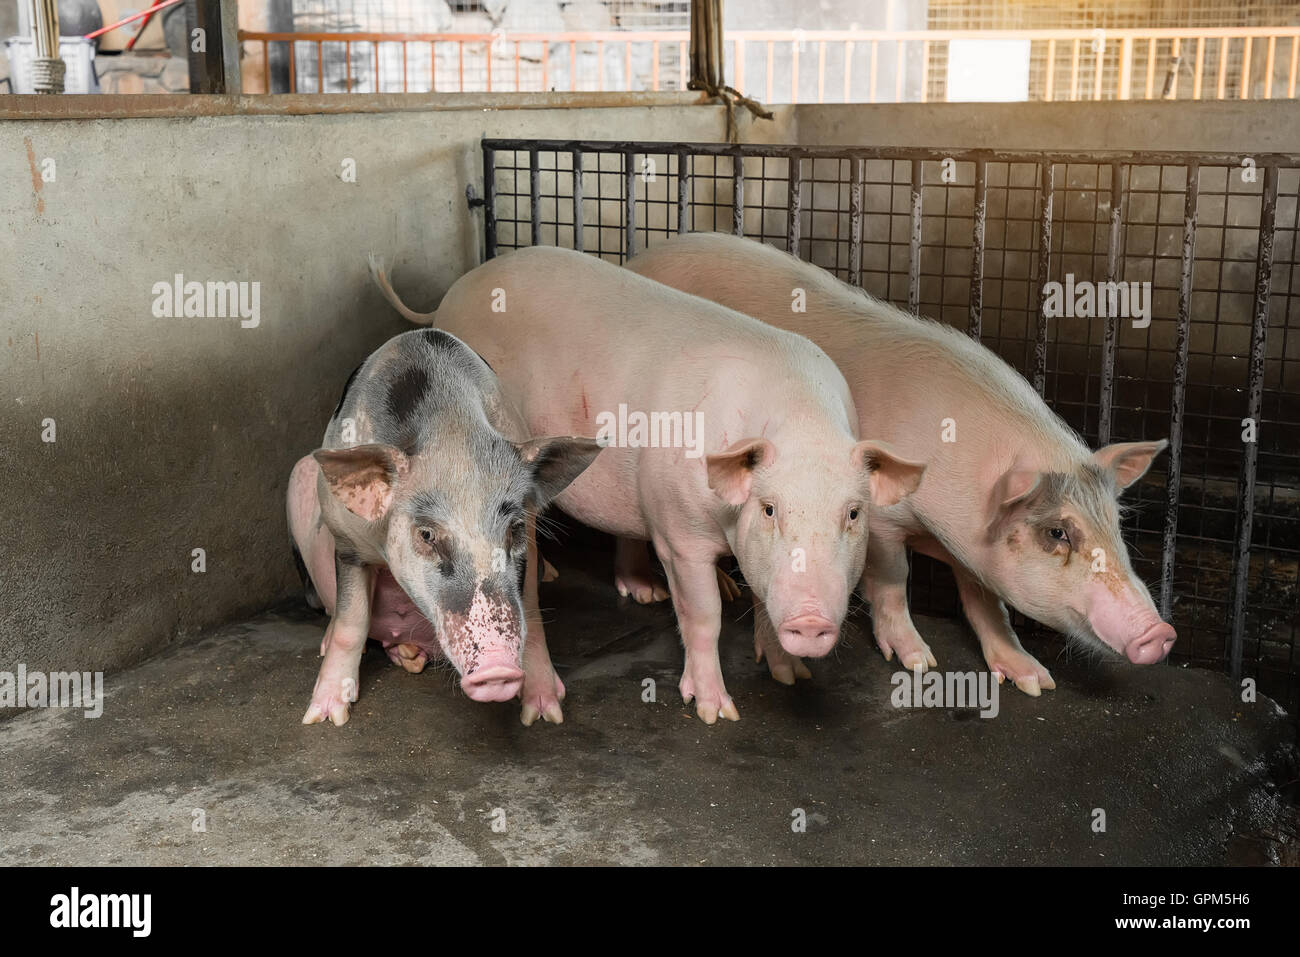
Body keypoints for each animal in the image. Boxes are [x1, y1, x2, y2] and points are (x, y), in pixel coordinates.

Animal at [286, 327, 601, 726]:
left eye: (513, 528)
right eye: (427, 534)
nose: (497, 669)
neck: (450, 428)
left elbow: (531, 613)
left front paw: (544, 716)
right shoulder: (347, 544)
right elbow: (350, 624)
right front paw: (324, 718)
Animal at [369, 248, 925, 723]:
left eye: (852, 513)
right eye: (769, 508)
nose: (810, 620)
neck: (800, 425)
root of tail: (456, 290)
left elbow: (761, 597)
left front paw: (792, 676)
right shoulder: (678, 530)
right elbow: (704, 615)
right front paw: (716, 712)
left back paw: (639, 592)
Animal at [623, 232, 1176, 695]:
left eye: (1117, 524)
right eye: (1058, 533)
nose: (1161, 633)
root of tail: (640, 255)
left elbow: (984, 600)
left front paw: (1034, 682)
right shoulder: (885, 521)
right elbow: (893, 581)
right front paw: (919, 662)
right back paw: (653, 593)